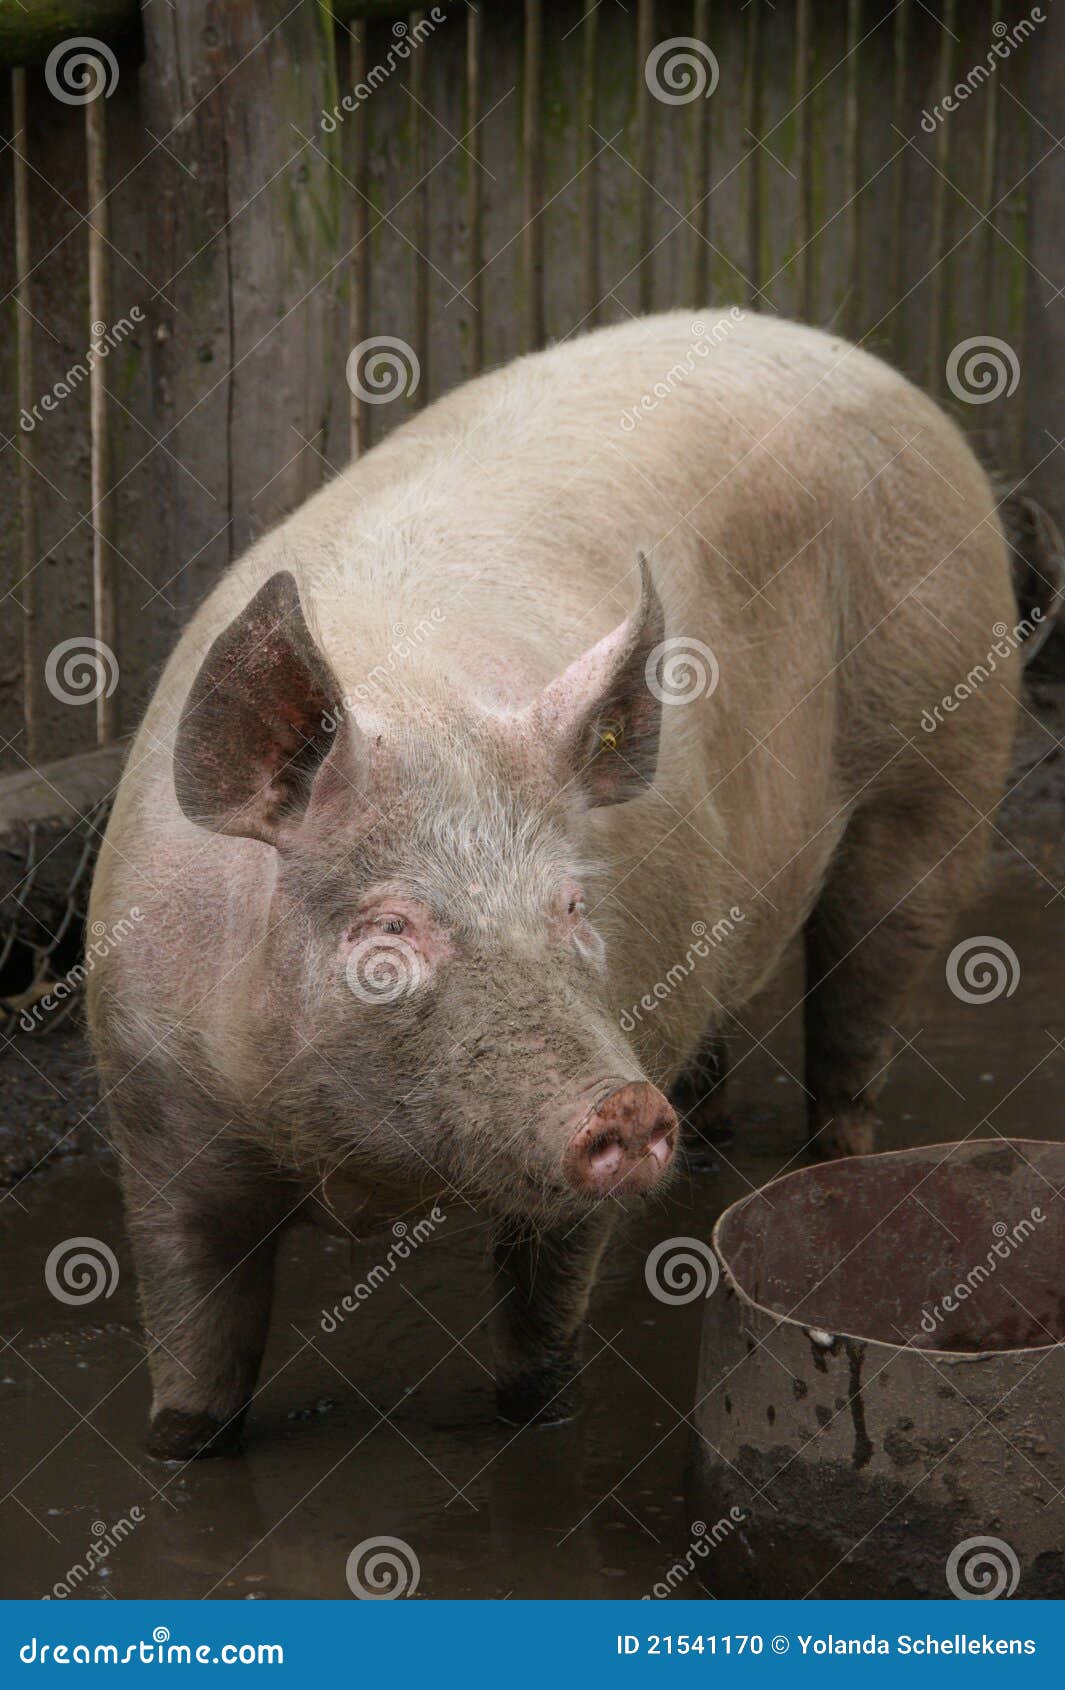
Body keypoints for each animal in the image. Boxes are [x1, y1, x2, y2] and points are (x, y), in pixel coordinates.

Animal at [87, 309, 1022, 1460]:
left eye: (571, 907)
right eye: (387, 927)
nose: (622, 1101)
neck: (366, 1178)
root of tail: (850, 355)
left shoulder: (613, 1069)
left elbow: (546, 1304)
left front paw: (537, 1410)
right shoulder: (154, 1114)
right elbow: (192, 1328)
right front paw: (182, 1443)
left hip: (939, 763)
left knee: (864, 982)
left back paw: (827, 1155)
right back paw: (708, 1139)